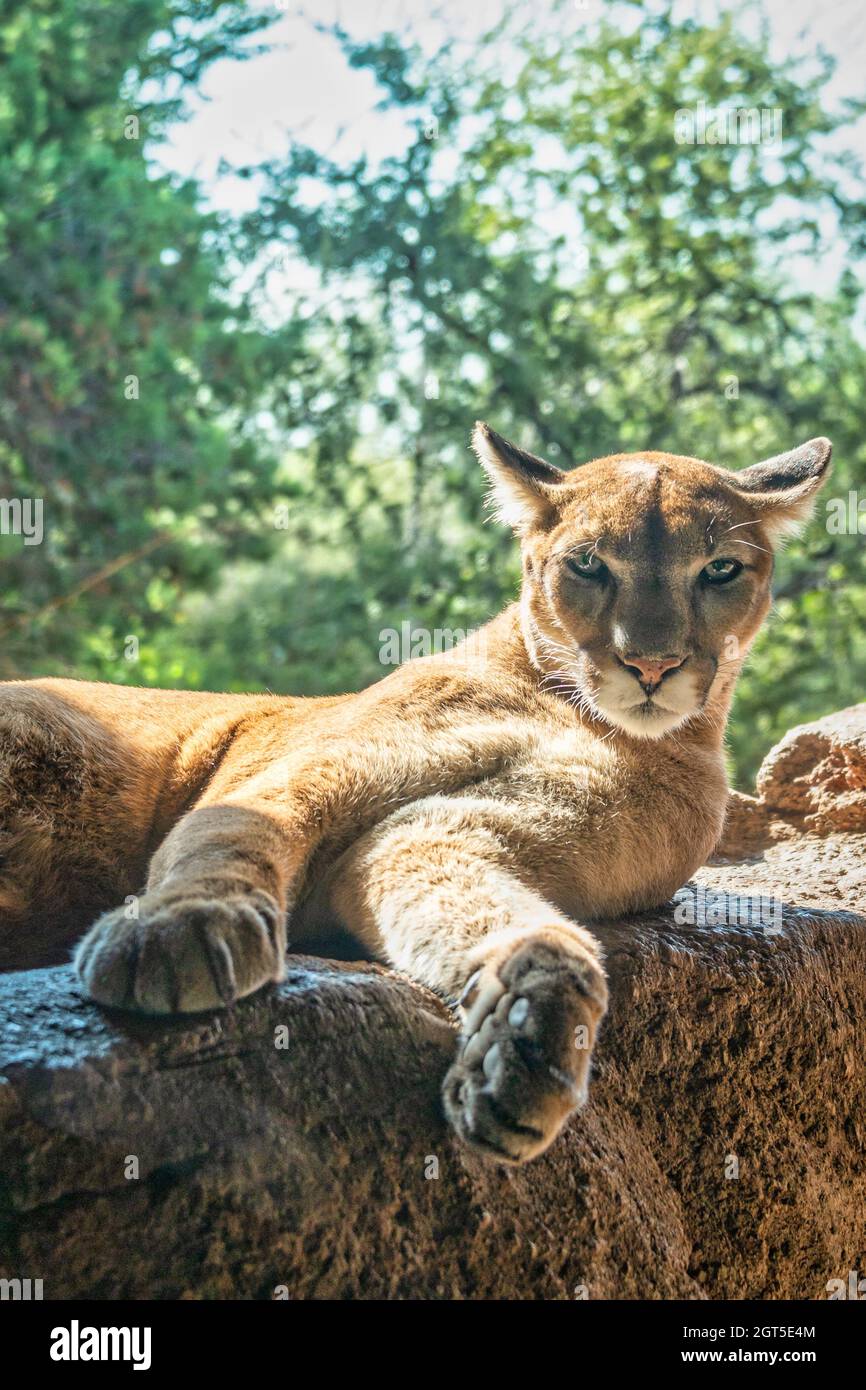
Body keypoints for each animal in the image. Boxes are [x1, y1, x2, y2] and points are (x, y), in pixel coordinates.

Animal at [0, 424, 832, 1163]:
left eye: (719, 571)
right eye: (590, 565)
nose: (651, 665)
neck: (563, 704)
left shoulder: (439, 832)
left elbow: (505, 921)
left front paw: (524, 1042)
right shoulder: (315, 770)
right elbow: (232, 831)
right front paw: (178, 927)